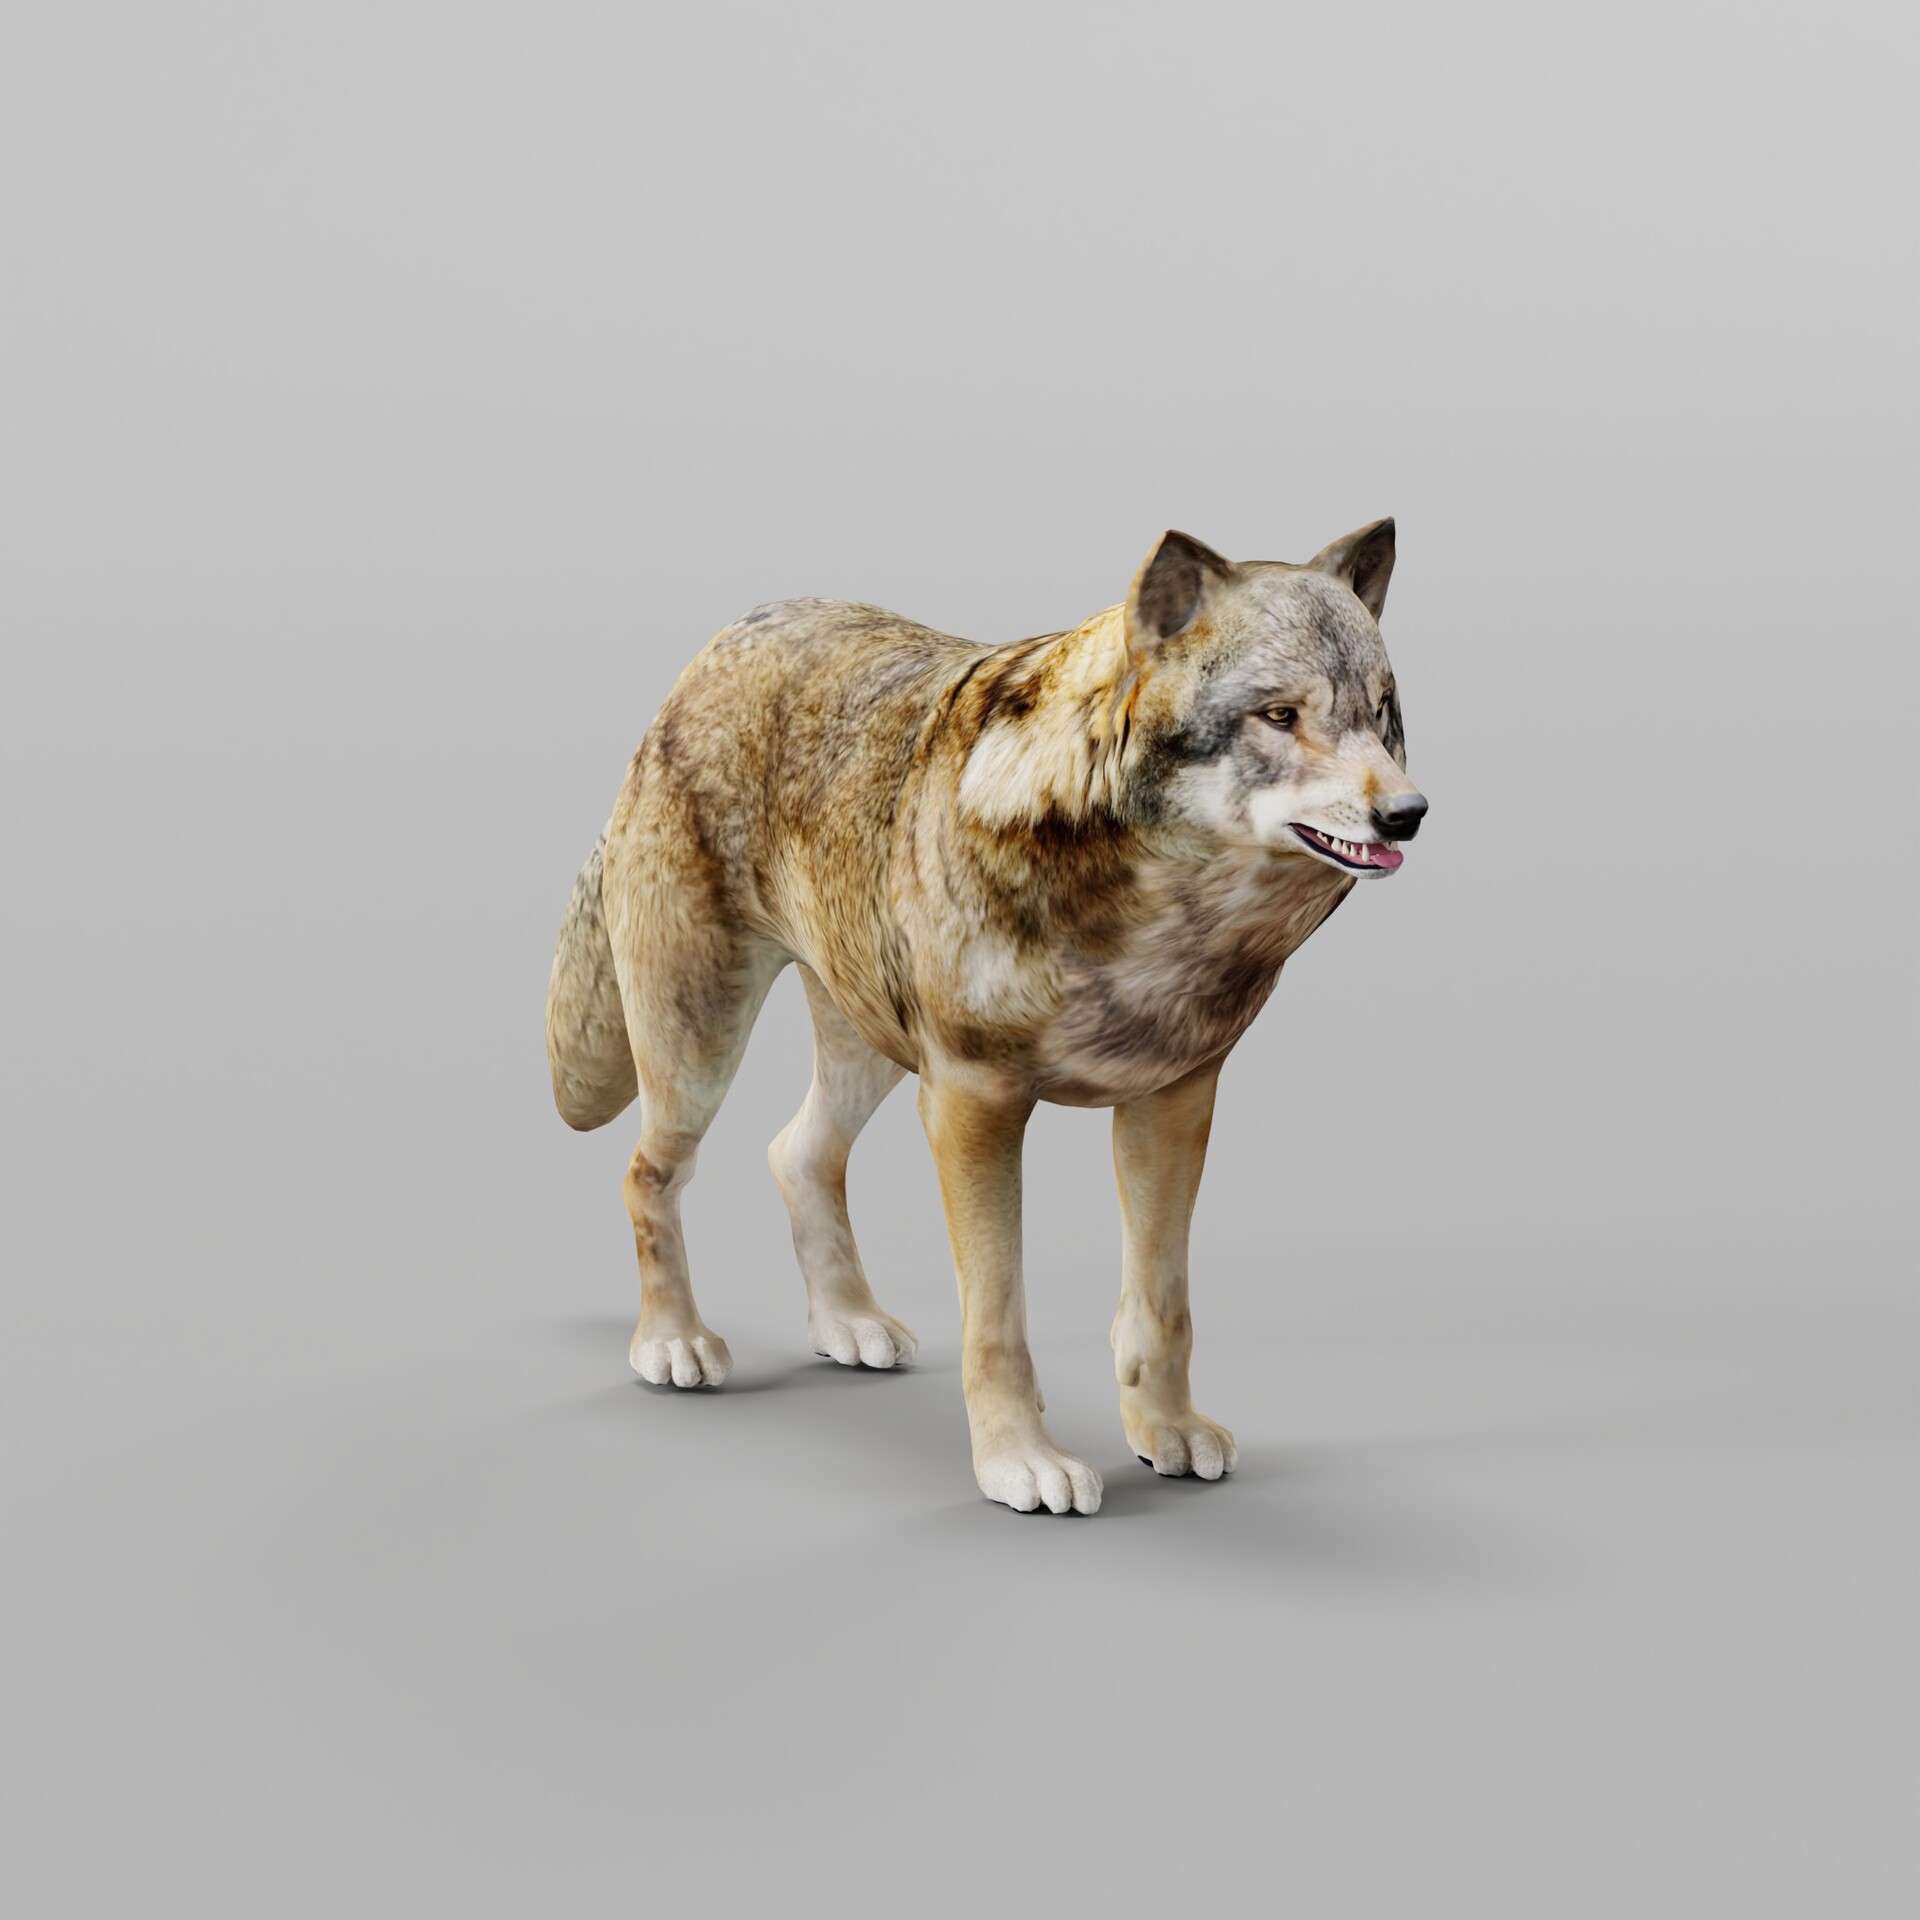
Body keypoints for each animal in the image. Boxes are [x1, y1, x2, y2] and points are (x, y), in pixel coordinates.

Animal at [546, 521, 1427, 1514]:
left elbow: (1162, 1305)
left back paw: (848, 1324)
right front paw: (1021, 1462)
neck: (1163, 921)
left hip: (873, 1050)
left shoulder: (1172, 1104)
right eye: (1280, 715)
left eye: (1383, 713)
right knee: (648, 1175)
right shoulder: (975, 1108)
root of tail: (729, 637)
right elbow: (998, 1312)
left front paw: (1164, 1431)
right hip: (701, 1052)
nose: (1409, 813)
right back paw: (673, 1341)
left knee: (795, 1152)